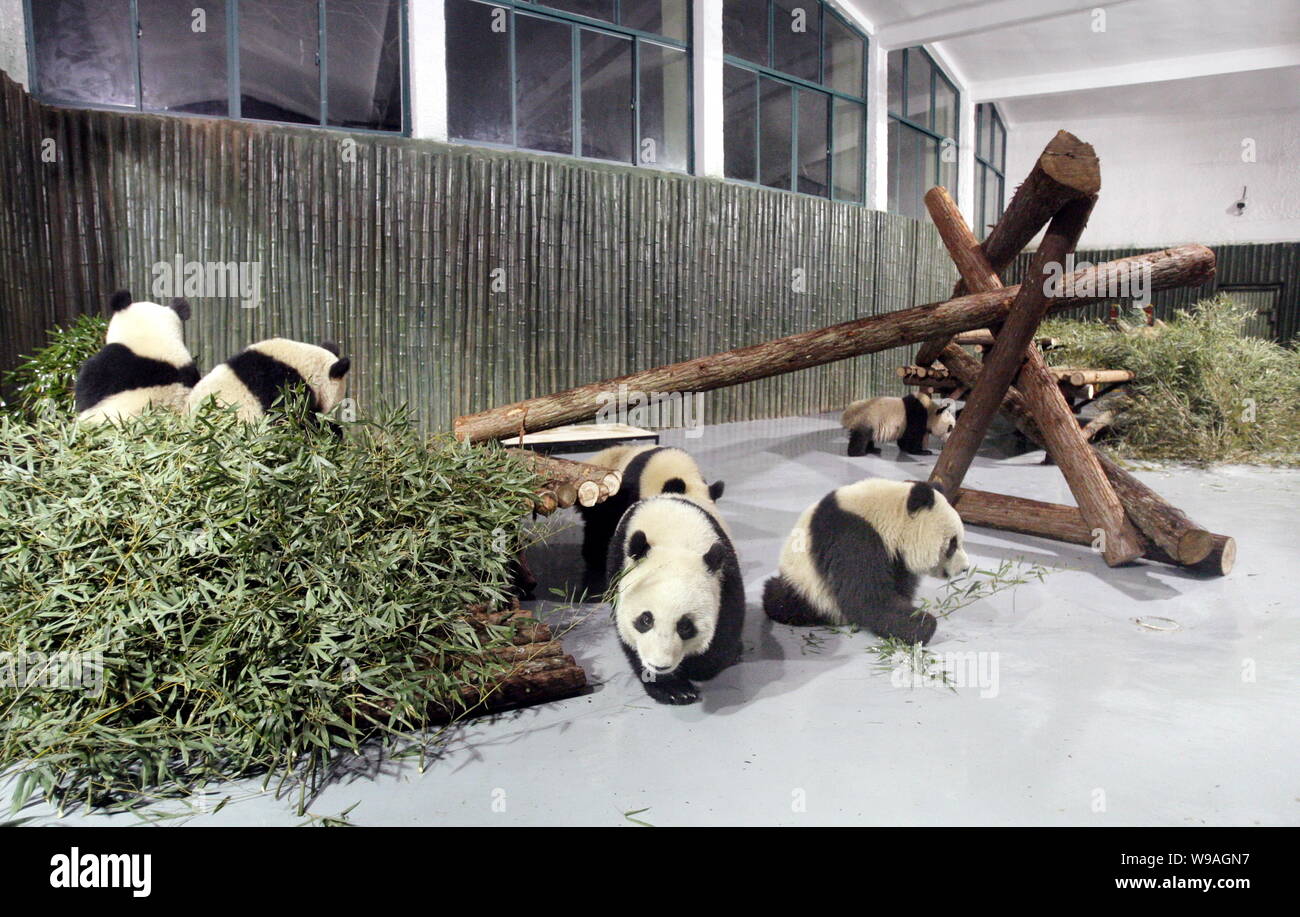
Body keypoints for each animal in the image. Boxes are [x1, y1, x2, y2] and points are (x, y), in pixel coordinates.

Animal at [606, 495, 745, 705]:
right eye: (646, 619)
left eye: (685, 626)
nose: (660, 666)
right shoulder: (618, 569)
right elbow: (630, 642)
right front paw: (674, 689)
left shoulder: (726, 576)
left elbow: (726, 631)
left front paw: (699, 667)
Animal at [762, 478, 969, 645]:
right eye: (952, 544)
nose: (965, 568)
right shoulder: (853, 536)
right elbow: (867, 598)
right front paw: (923, 625)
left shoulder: (897, 557)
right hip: (807, 584)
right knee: (781, 600)